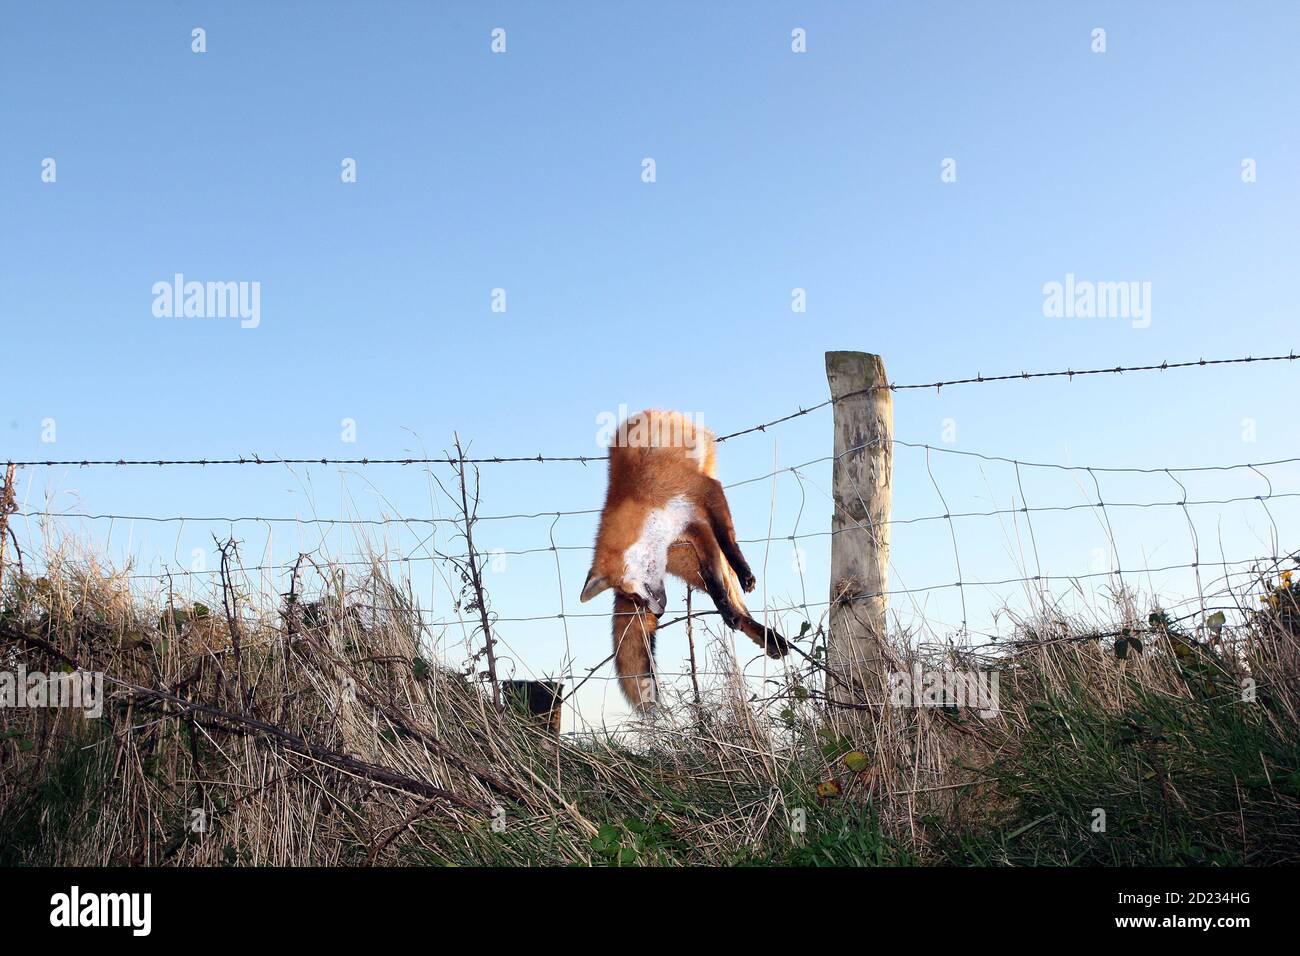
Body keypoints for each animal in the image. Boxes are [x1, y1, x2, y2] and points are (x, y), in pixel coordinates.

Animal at [579, 409, 791, 710]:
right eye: (631, 599)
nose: (657, 613)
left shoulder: (705, 494)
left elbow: (728, 540)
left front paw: (745, 571)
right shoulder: (694, 530)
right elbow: (715, 583)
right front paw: (726, 609)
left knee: (735, 591)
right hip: (688, 560)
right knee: (737, 605)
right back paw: (763, 637)